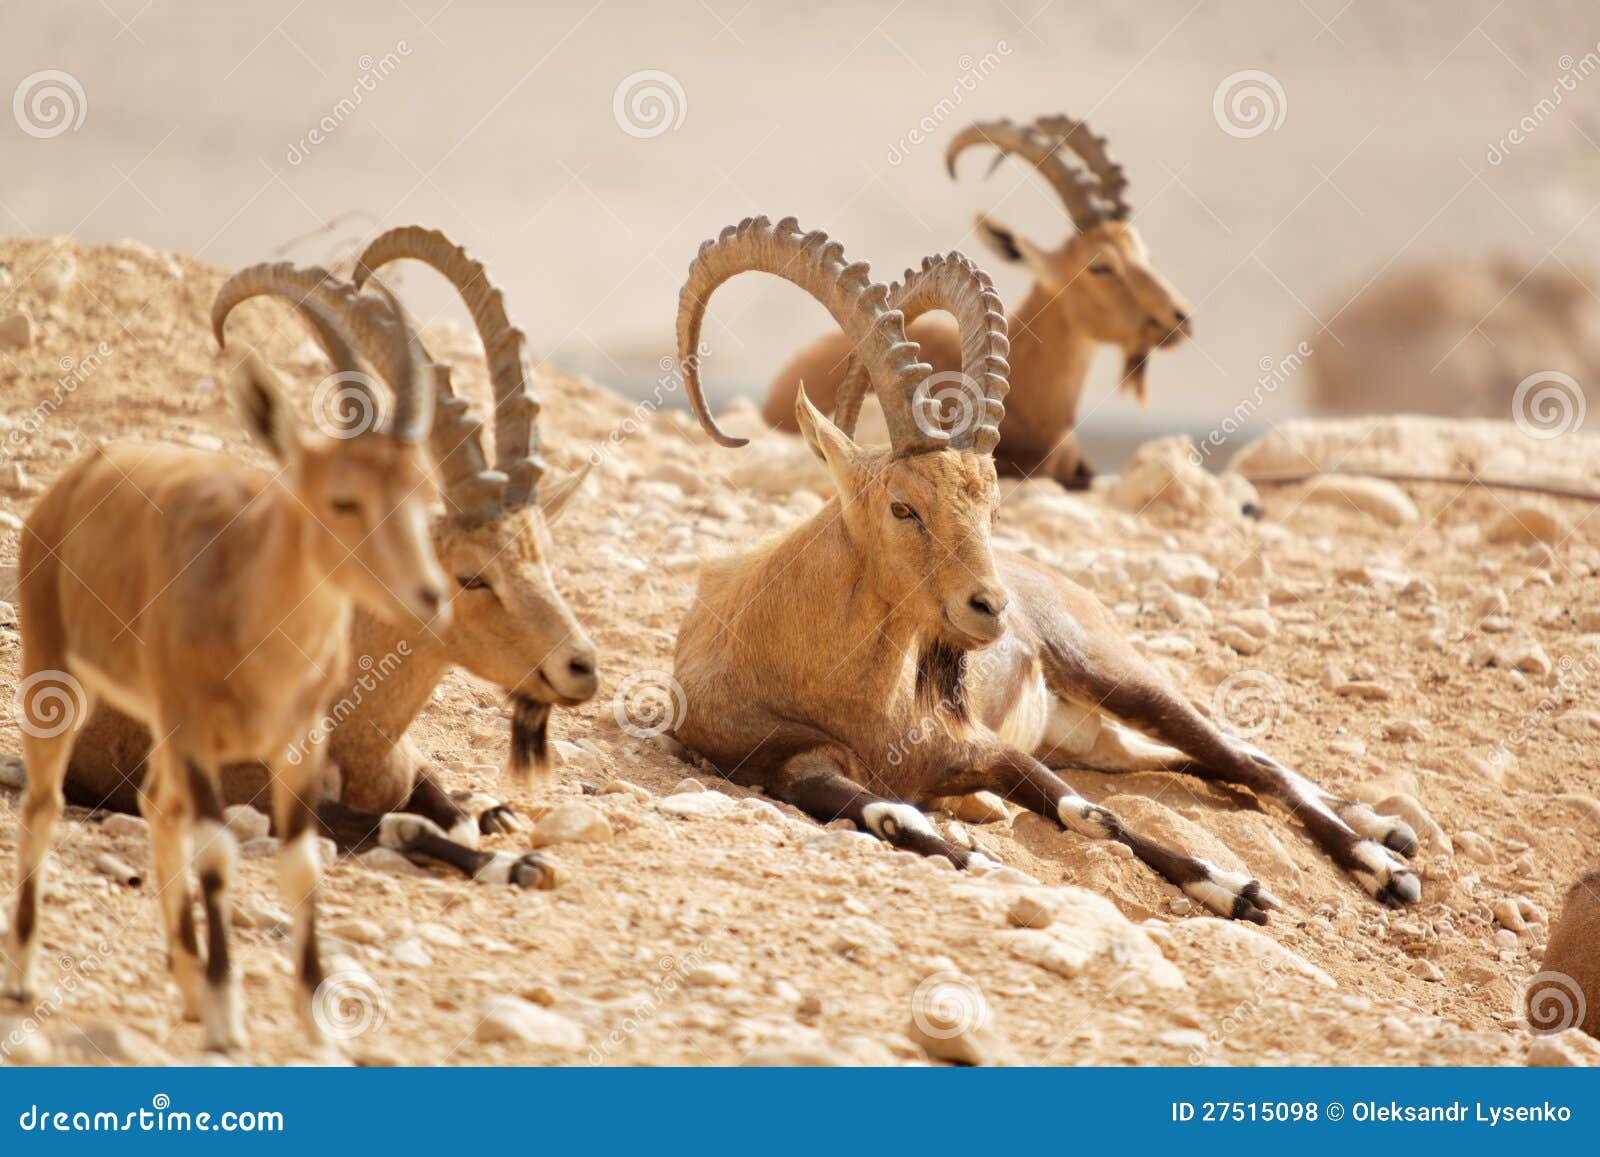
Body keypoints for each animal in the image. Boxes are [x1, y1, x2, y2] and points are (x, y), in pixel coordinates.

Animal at [6, 272, 446, 1050]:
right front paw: (225, 1018)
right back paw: (27, 975)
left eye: (426, 497)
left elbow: (300, 864)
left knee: (156, 805)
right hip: (56, 674)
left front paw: (314, 1023)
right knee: (46, 800)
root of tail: (78, 477)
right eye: (344, 499)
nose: (428, 594)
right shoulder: (196, 733)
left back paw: (181, 983)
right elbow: (216, 851)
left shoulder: (299, 742)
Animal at [60, 229, 599, 888]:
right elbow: (404, 826)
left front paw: (493, 819)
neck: (358, 727)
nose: (581, 666)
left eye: (544, 555)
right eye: (471, 577)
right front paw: (517, 864)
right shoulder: (256, 791)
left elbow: (447, 806)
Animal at [674, 216, 1421, 920]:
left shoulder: (988, 749)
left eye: (993, 504)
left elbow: (1092, 815)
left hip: (1112, 674)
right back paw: (1386, 831)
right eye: (902, 506)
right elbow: (896, 816)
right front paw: (984, 863)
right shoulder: (790, 766)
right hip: (1085, 737)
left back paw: (1384, 861)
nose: (992, 609)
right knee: (1207, 761)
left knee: (1242, 760)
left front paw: (1238, 888)